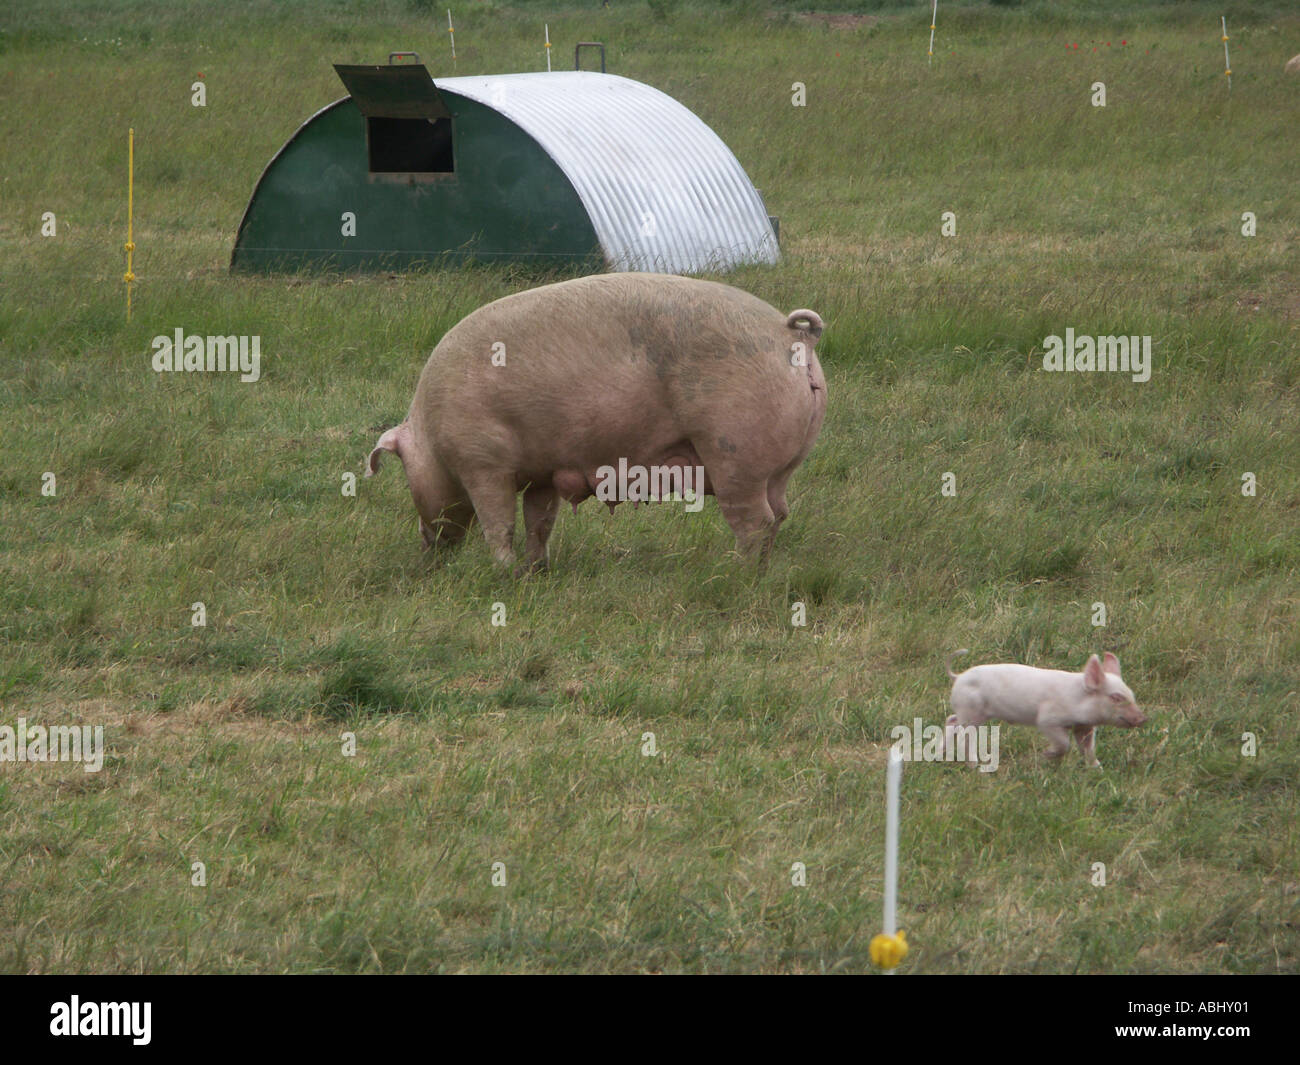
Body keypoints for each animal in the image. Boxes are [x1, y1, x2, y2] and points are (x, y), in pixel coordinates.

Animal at [366, 273, 827, 569]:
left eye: (406, 473)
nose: (426, 554)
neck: (431, 432)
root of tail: (791, 332)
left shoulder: (482, 460)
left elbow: (498, 521)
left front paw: (502, 571)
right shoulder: (544, 471)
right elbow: (539, 522)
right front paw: (535, 571)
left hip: (734, 453)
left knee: (755, 522)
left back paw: (736, 573)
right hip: (778, 467)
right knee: (780, 514)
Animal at [942, 650, 1146, 769]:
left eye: (1132, 694)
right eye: (1116, 697)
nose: (1143, 718)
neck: (1078, 699)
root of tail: (958, 676)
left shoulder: (1084, 727)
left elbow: (1088, 748)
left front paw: (1097, 768)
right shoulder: (1048, 720)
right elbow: (1064, 743)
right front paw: (1045, 755)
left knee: (951, 720)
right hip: (971, 712)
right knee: (964, 735)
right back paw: (975, 767)